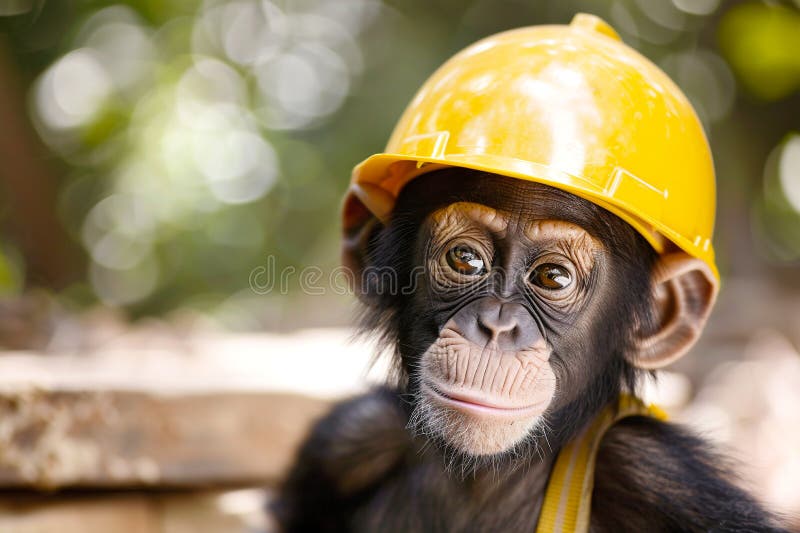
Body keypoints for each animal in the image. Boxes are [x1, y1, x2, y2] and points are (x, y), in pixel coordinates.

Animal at [273, 169, 788, 532]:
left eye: (553, 277)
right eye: (465, 259)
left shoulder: (665, 480)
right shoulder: (349, 439)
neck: (482, 476)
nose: (496, 327)